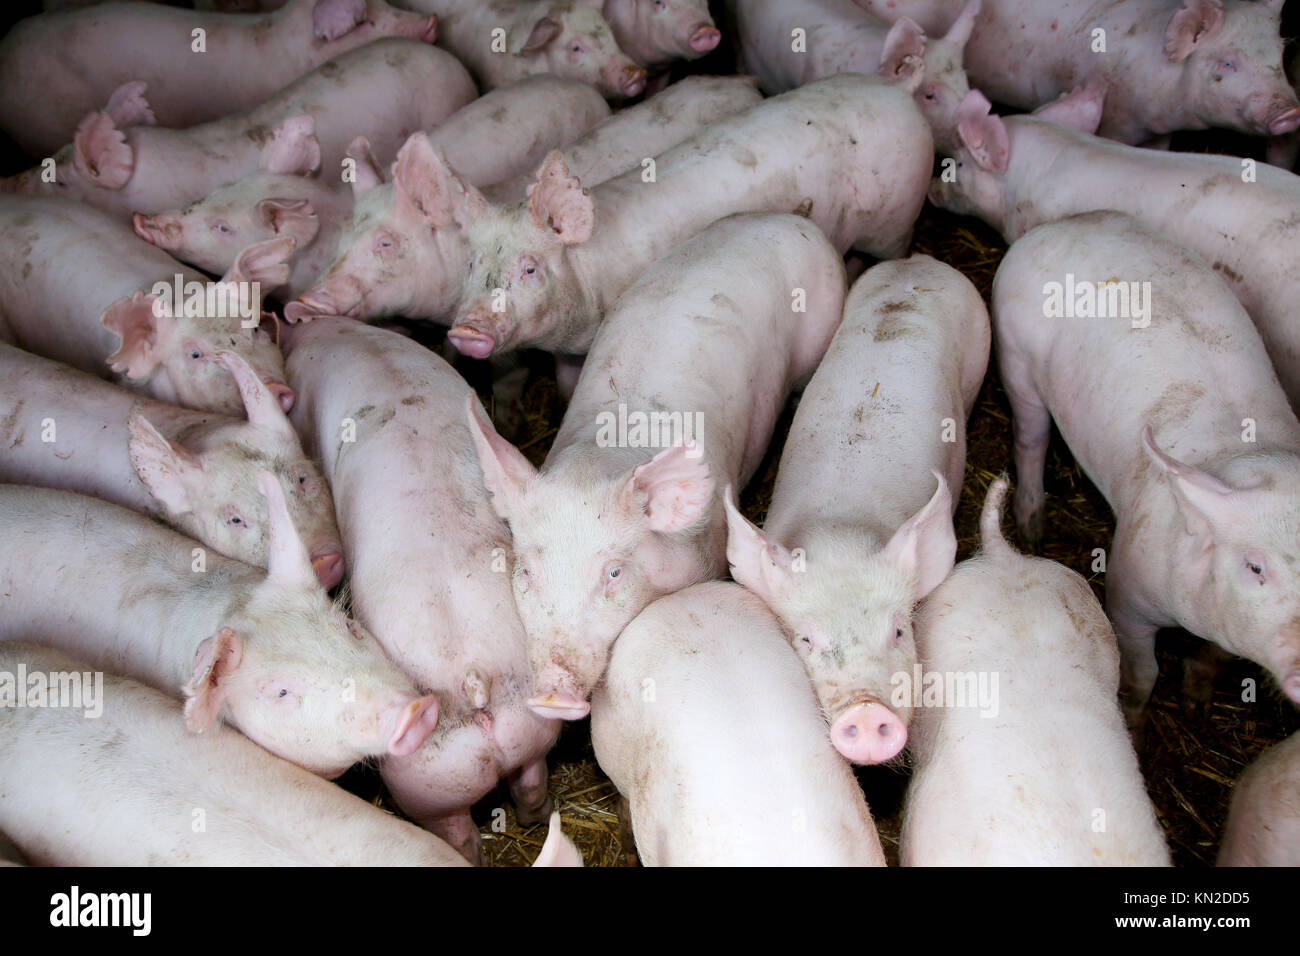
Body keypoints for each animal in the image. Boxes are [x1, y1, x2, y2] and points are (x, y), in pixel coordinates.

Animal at [285, 317, 563, 865]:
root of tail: (476, 677)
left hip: (419, 779)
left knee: (460, 837)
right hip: (527, 730)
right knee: (530, 782)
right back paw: (538, 817)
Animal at [991, 211, 1300, 732]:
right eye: (1255, 566)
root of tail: (1061, 225)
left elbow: (1213, 658)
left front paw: (1197, 707)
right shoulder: (1127, 586)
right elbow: (1142, 669)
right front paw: (1134, 721)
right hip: (1017, 357)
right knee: (1031, 438)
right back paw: (1033, 530)